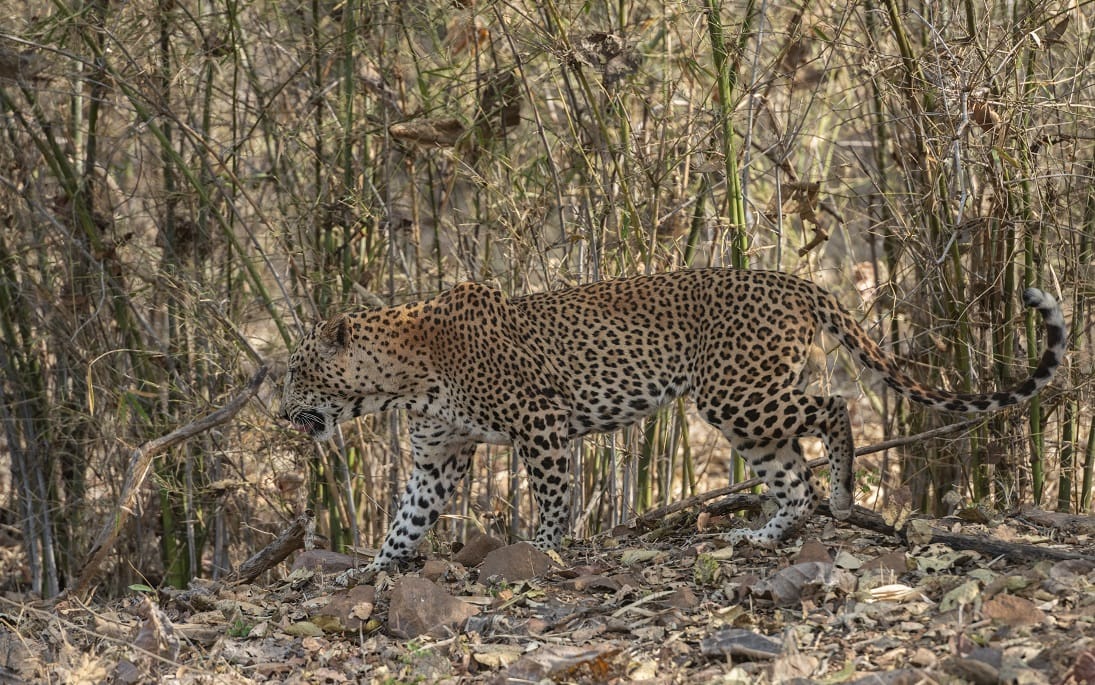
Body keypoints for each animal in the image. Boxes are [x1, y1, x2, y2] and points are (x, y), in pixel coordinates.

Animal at [279, 269, 1066, 583]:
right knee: (790, 476)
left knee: (830, 409)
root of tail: (794, 280)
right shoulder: (438, 456)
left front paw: (543, 549)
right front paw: (377, 568)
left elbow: (553, 497)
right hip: (743, 414)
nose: (281, 411)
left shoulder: (541, 420)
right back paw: (762, 535)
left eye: (297, 371)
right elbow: (406, 518)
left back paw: (844, 496)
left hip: (736, 393)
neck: (400, 378)